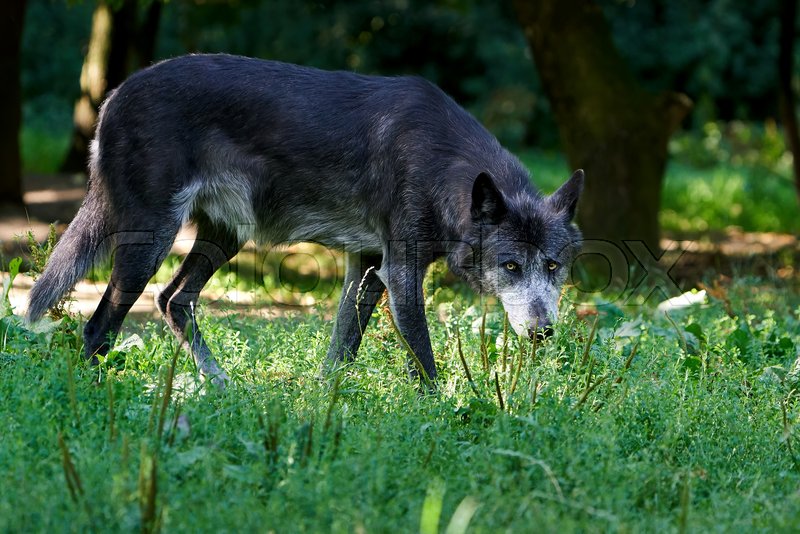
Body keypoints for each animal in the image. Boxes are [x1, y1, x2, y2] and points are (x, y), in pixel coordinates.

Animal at [27, 54, 583, 386]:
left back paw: (221, 387)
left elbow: (341, 350)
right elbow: (423, 362)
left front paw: (324, 403)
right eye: (510, 267)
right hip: (150, 242)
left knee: (172, 299)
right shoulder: (402, 275)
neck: (441, 160)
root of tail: (112, 96)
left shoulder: (368, 269)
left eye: (553, 267)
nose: (543, 332)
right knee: (99, 325)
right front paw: (445, 414)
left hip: (222, 239)